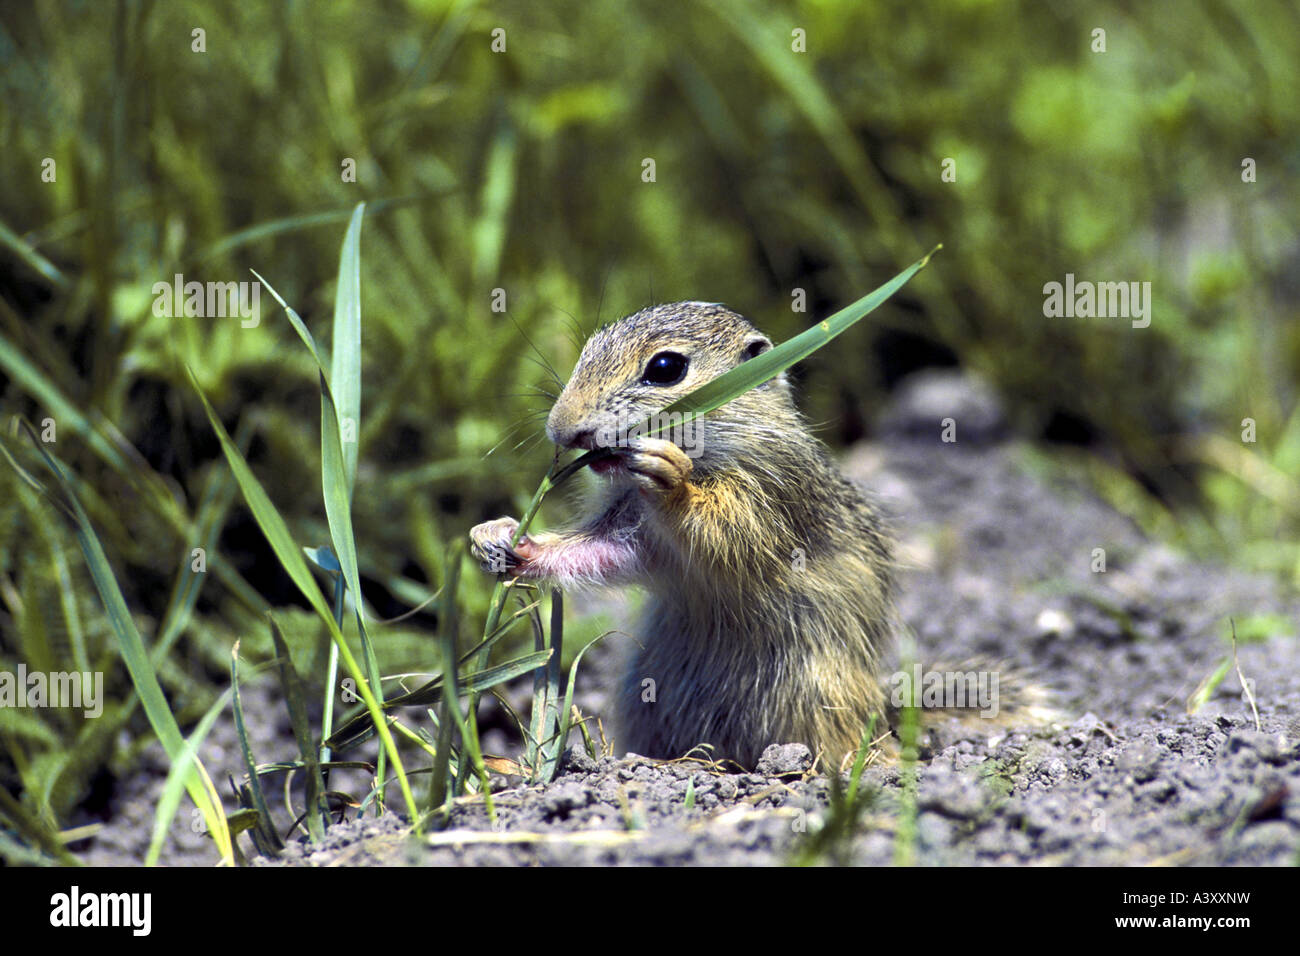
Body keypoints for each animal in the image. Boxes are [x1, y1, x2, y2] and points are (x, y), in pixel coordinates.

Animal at [470, 301, 1053, 769]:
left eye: (665, 368)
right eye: (587, 349)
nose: (560, 426)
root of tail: (884, 715)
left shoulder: (770, 499)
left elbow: (727, 533)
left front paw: (671, 479)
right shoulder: (633, 530)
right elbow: (599, 552)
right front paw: (500, 539)